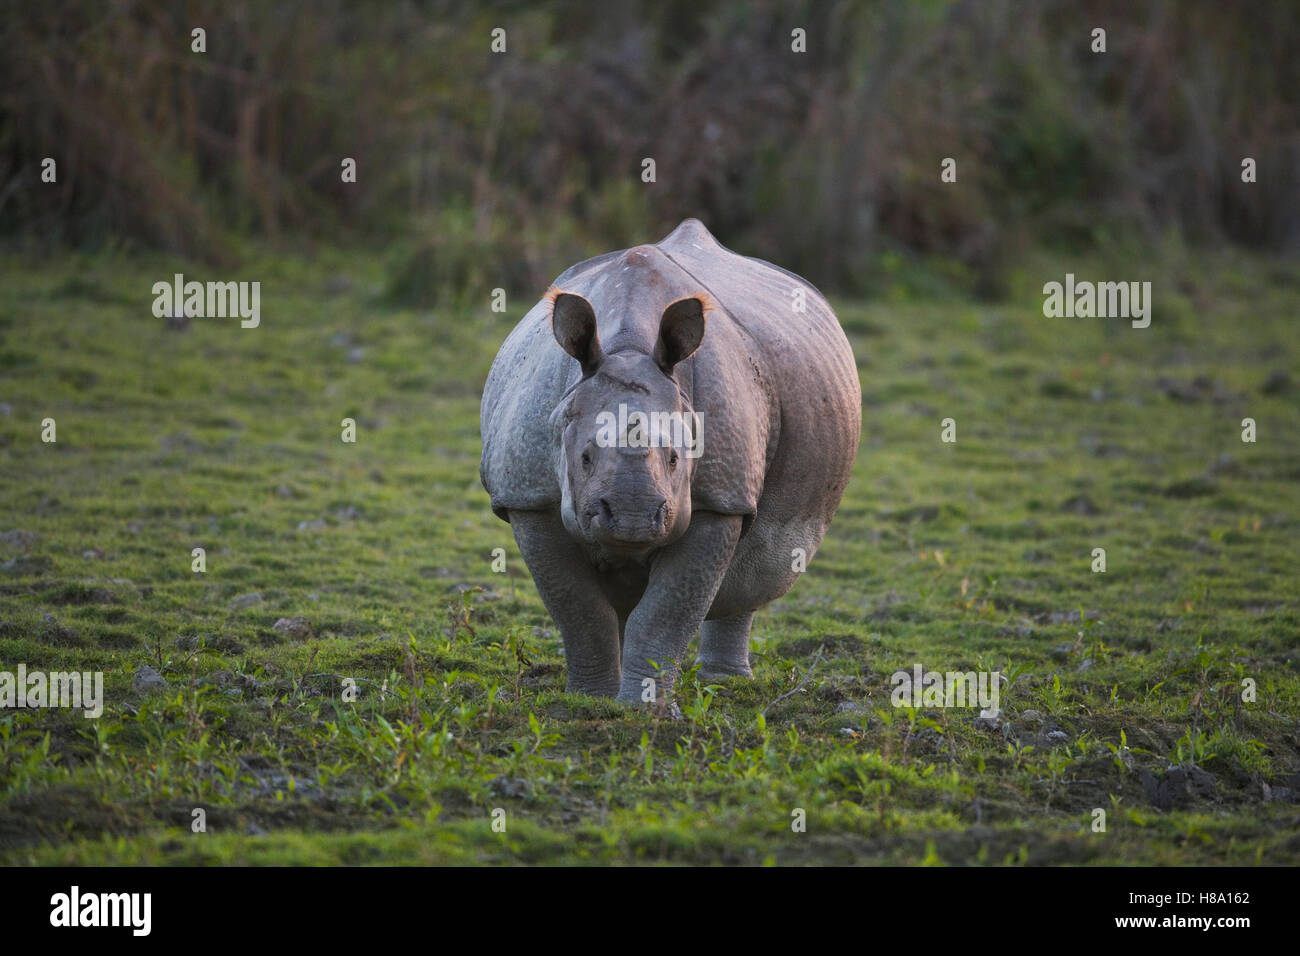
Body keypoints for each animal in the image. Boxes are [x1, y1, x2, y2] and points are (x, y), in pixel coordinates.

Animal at [480, 219, 860, 704]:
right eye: (584, 458)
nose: (633, 516)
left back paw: (725, 682)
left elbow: (667, 612)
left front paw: (644, 709)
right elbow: (579, 610)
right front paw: (590, 700)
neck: (627, 346)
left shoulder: (720, 497)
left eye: (679, 458)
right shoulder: (528, 497)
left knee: (752, 570)